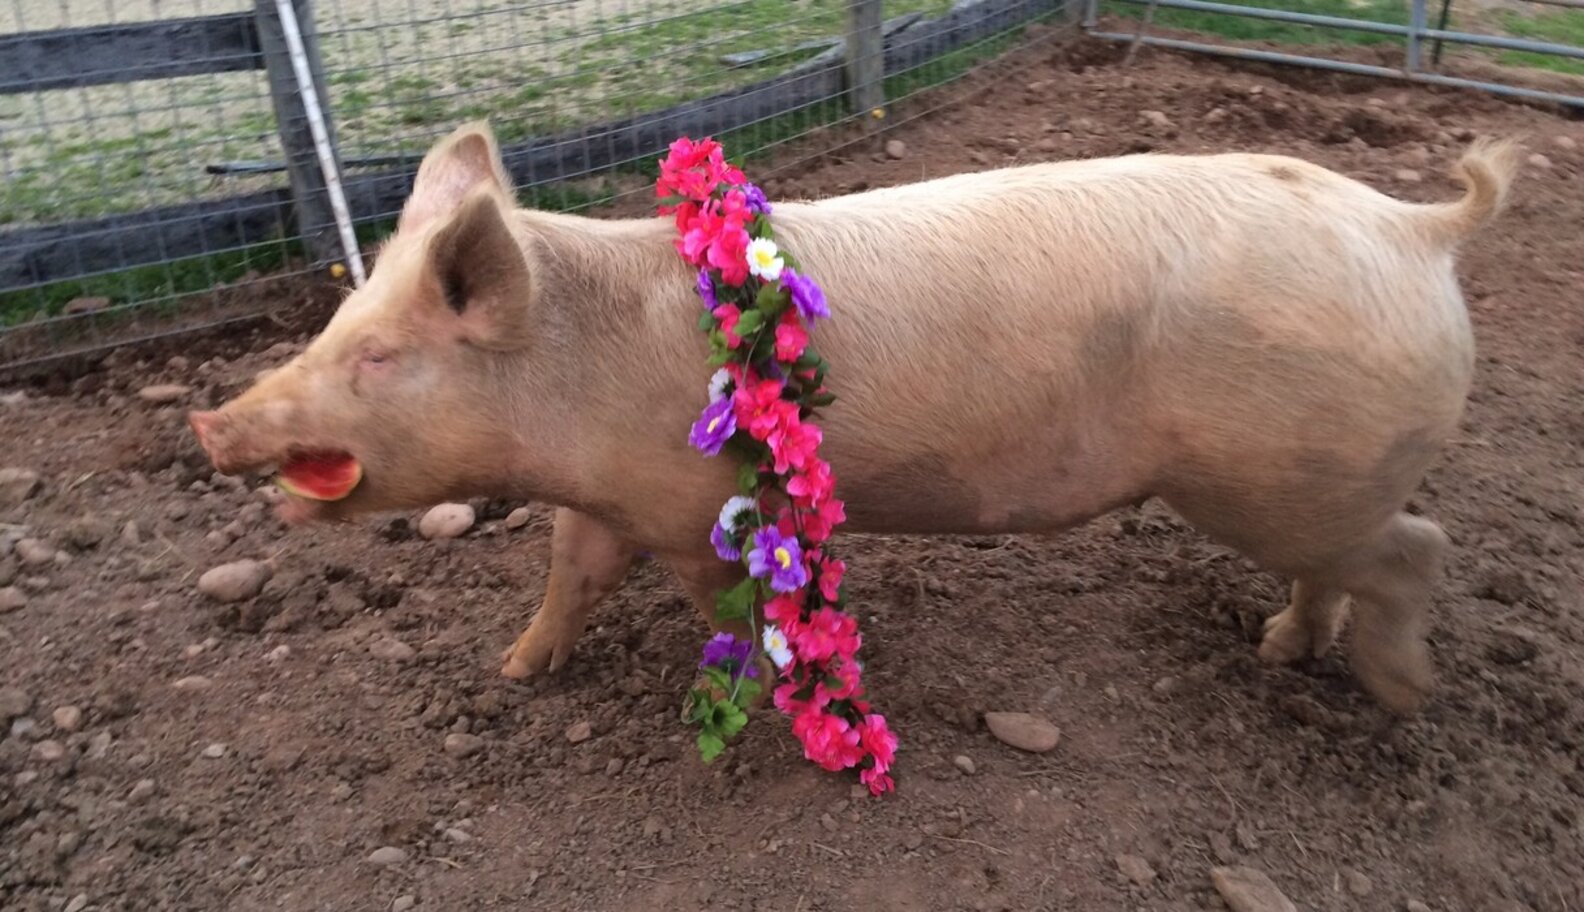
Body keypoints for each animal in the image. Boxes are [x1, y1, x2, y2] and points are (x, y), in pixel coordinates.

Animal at [189, 122, 1521, 714]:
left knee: (1423, 547)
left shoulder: (691, 502)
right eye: (334, 328)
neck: (572, 362)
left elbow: (714, 601)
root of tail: (1417, 227)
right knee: (1349, 562)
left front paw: (769, 688)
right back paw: (1281, 651)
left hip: (1278, 476)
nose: (212, 423)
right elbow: (570, 574)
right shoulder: (602, 500)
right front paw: (515, 672)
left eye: (379, 358)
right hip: (1306, 489)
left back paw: (1403, 696)